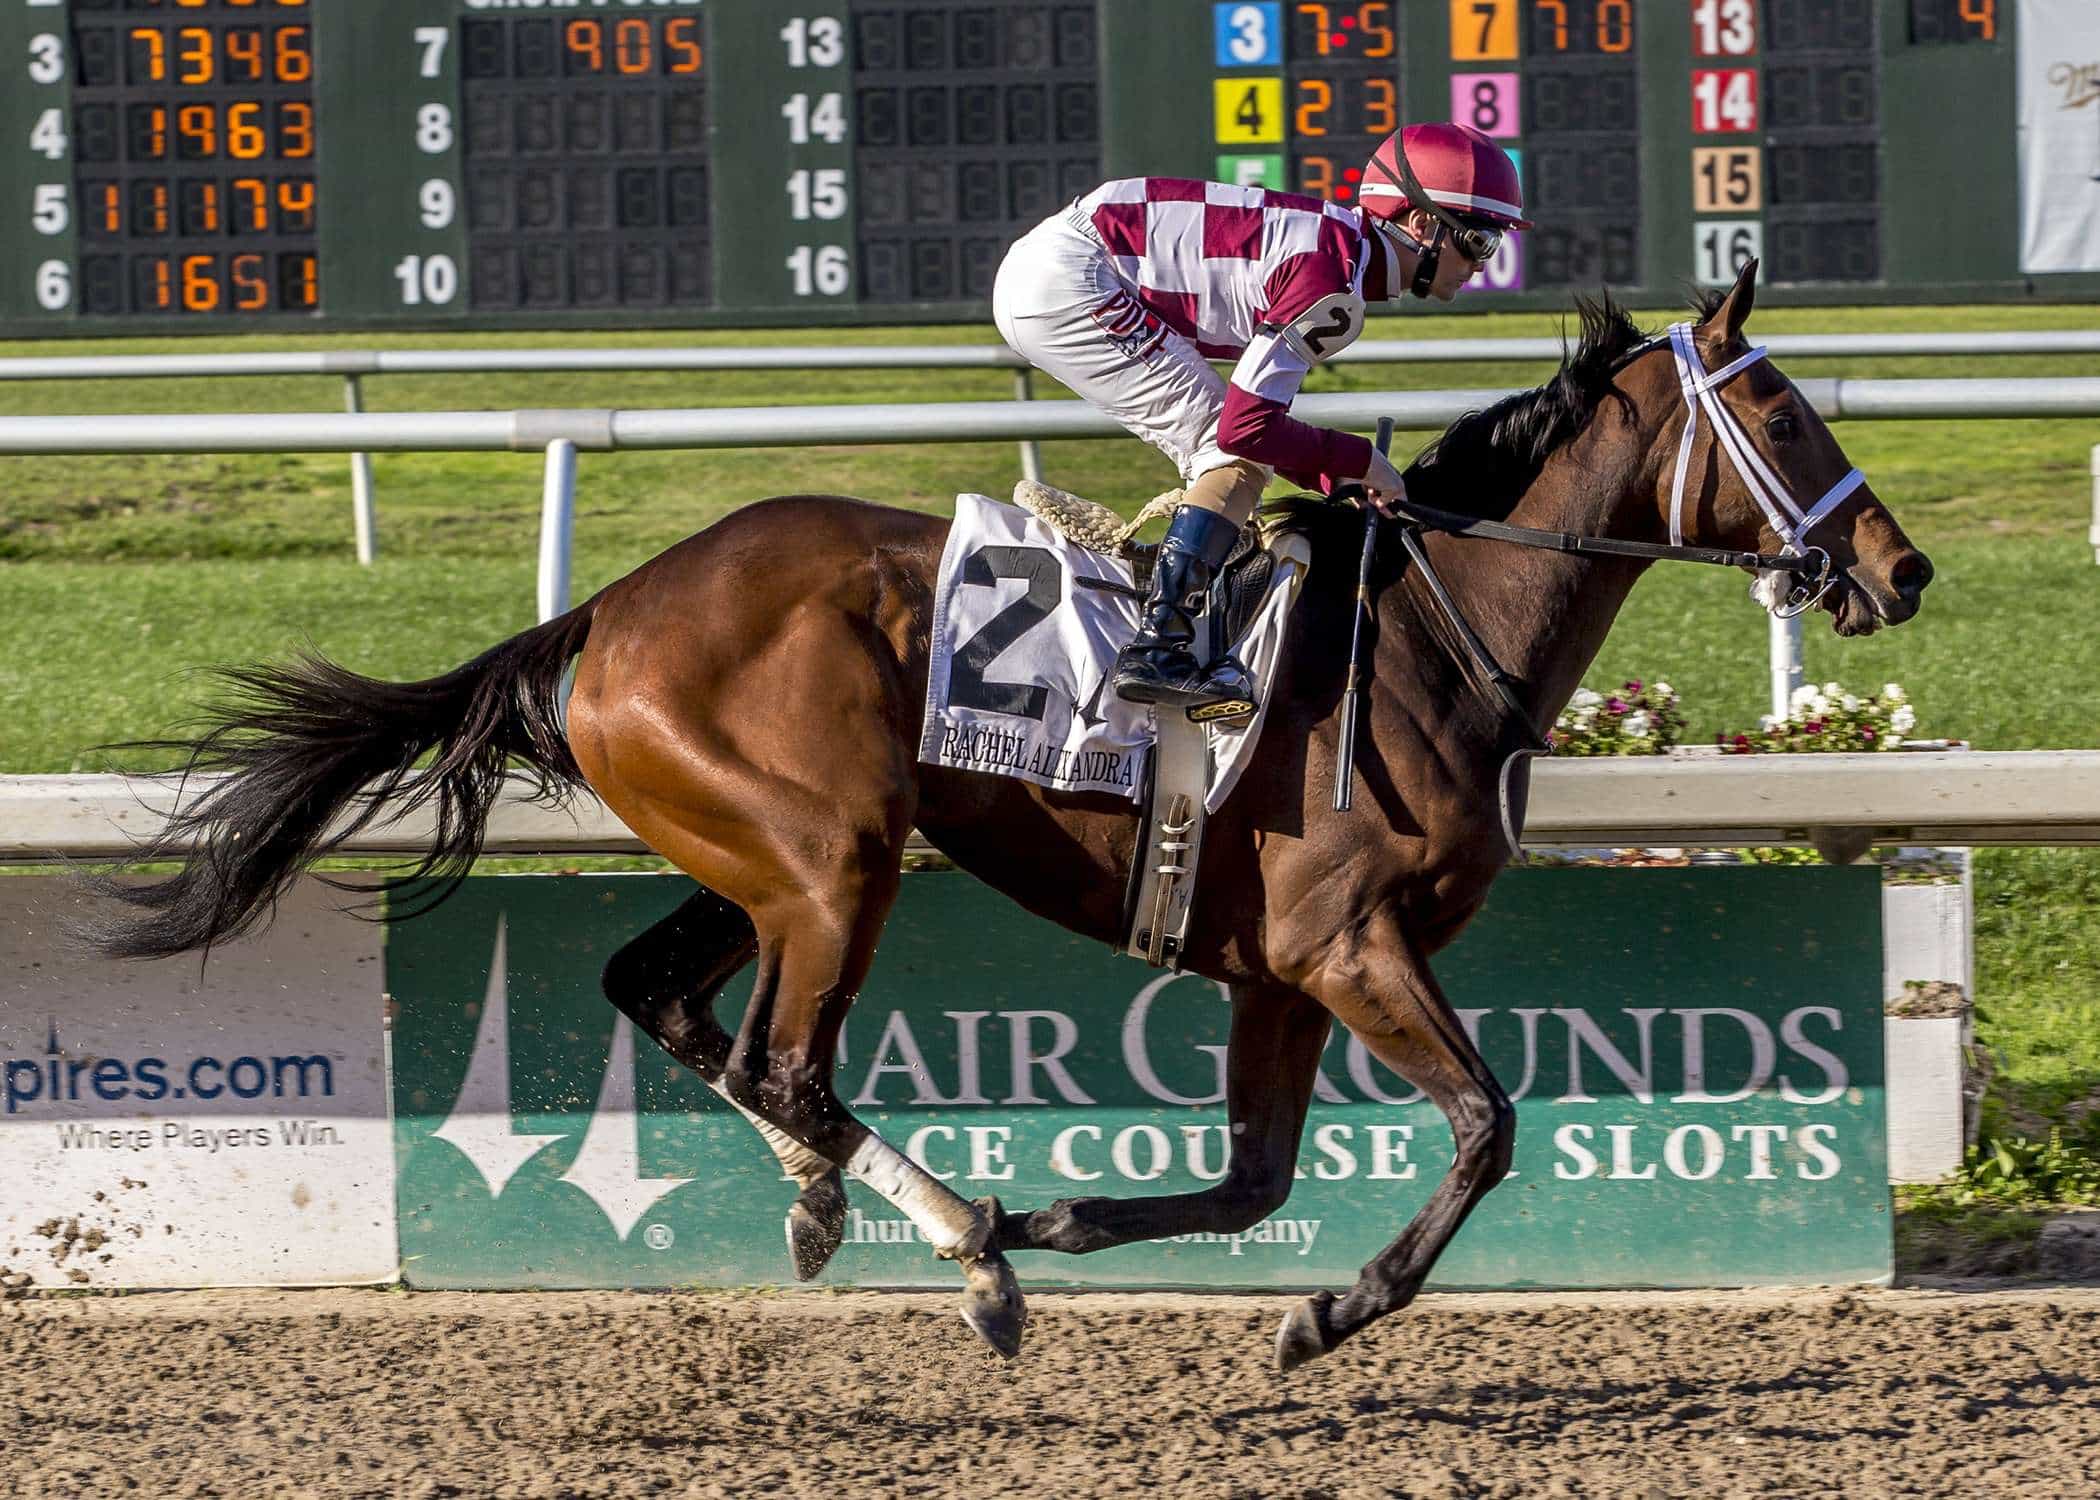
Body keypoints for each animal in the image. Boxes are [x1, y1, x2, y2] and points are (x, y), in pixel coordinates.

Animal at [85, 263, 1931, 1370]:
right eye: (1780, 411)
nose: (1902, 571)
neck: (1426, 634)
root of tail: (606, 608)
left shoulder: (1275, 972)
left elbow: (1252, 1180)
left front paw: (1094, 1223)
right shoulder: (1346, 946)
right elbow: (1486, 1127)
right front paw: (1328, 1313)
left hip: (762, 857)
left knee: (668, 1002)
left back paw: (863, 1213)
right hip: (831, 862)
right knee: (781, 1058)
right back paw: (964, 1246)